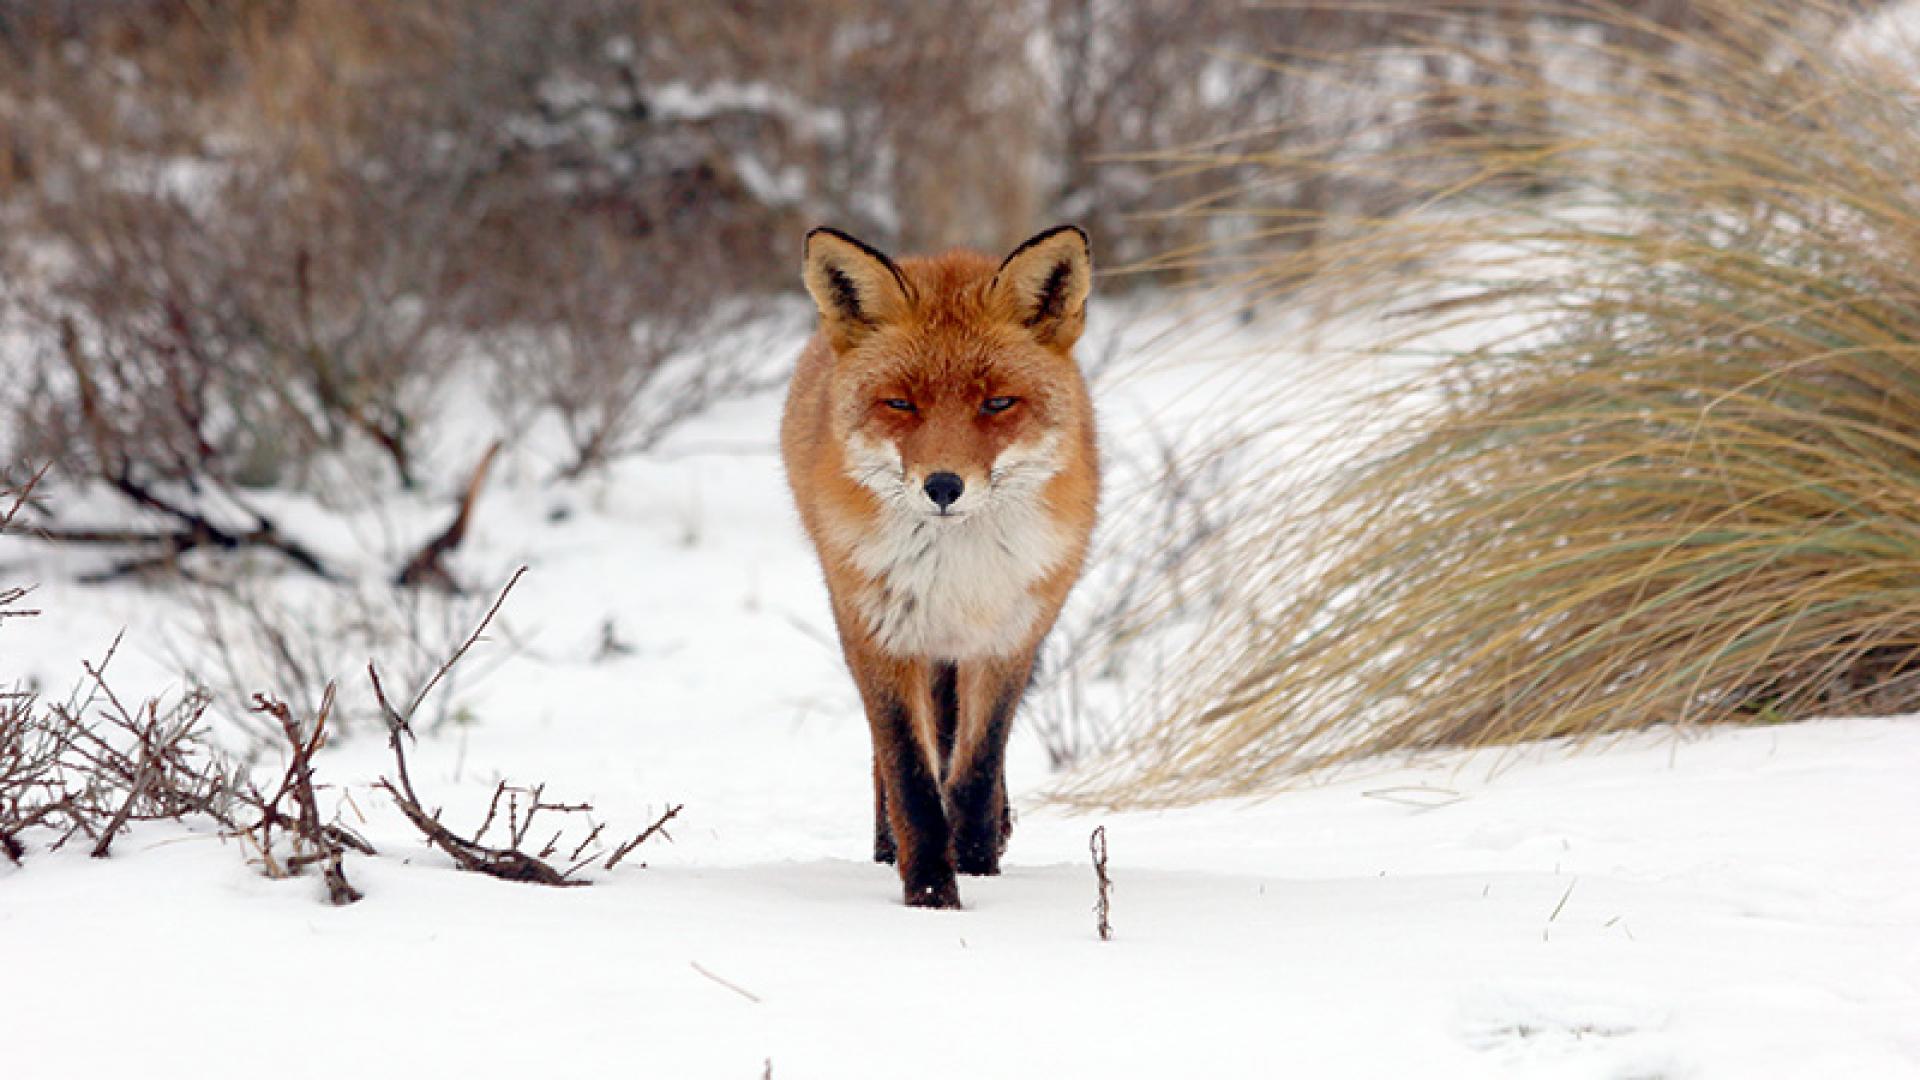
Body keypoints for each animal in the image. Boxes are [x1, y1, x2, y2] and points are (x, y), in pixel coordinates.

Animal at [780, 224, 1099, 908]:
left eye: (998, 402)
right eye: (901, 403)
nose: (944, 486)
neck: (957, 574)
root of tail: (944, 256)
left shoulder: (1008, 638)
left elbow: (976, 770)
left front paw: (976, 868)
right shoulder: (879, 635)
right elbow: (910, 775)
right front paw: (930, 893)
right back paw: (885, 848)